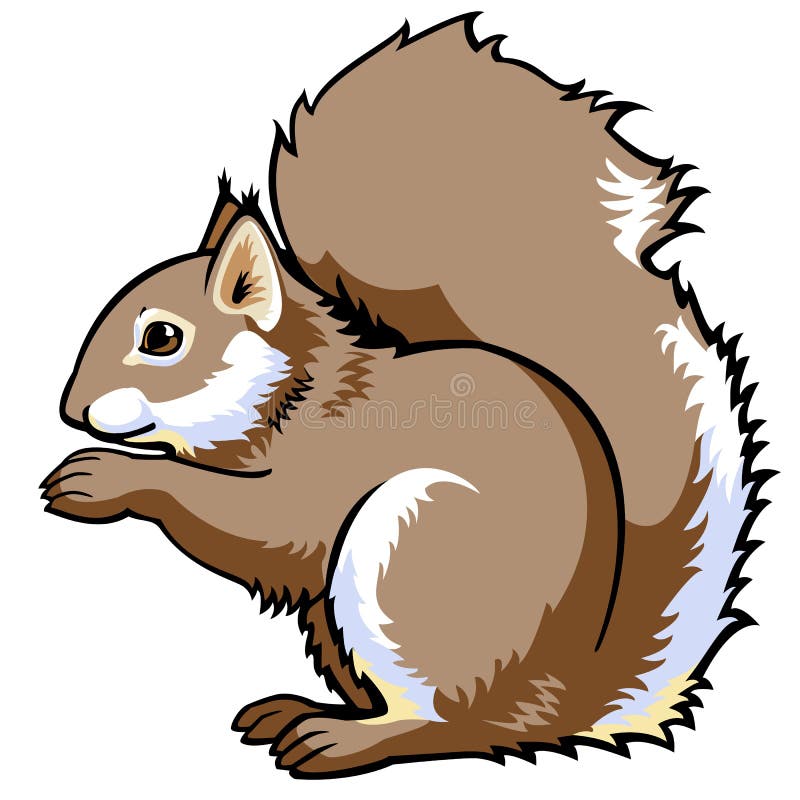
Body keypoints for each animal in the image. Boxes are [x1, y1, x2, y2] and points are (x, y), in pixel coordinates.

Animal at [41, 15, 768, 779]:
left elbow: (261, 523)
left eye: (161, 338)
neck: (294, 389)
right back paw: (300, 712)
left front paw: (105, 478)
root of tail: (555, 700)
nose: (69, 409)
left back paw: (337, 738)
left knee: (444, 725)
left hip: (412, 552)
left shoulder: (327, 468)